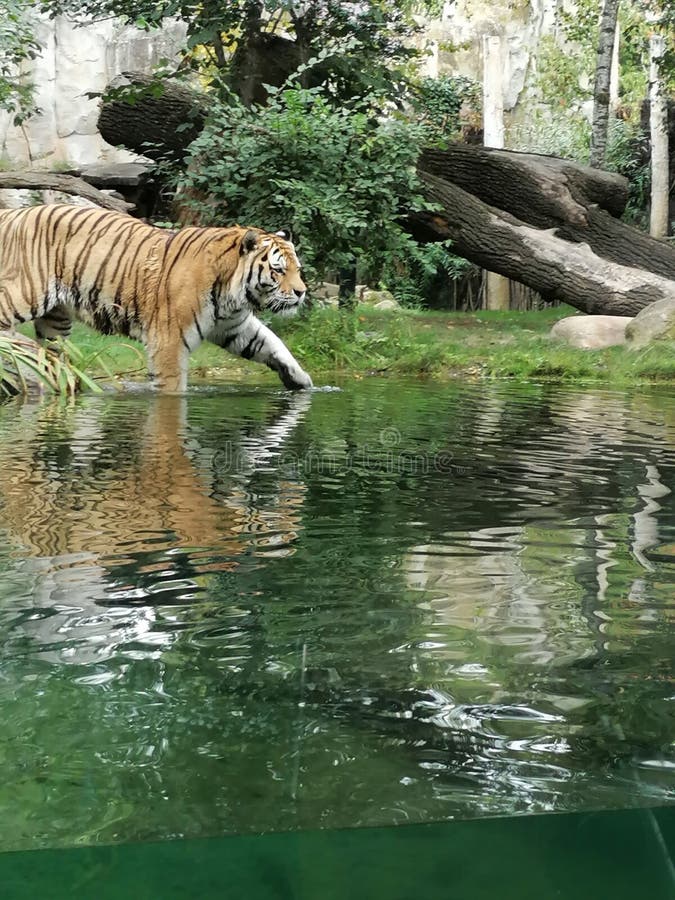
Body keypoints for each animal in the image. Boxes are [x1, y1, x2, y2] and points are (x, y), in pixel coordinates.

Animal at [0, 203, 313, 392]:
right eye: (278, 270)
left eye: (297, 269)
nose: (301, 292)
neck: (234, 296)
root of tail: (13, 213)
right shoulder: (169, 339)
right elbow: (172, 387)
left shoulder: (234, 327)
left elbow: (273, 344)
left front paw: (301, 381)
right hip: (26, 289)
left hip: (56, 321)